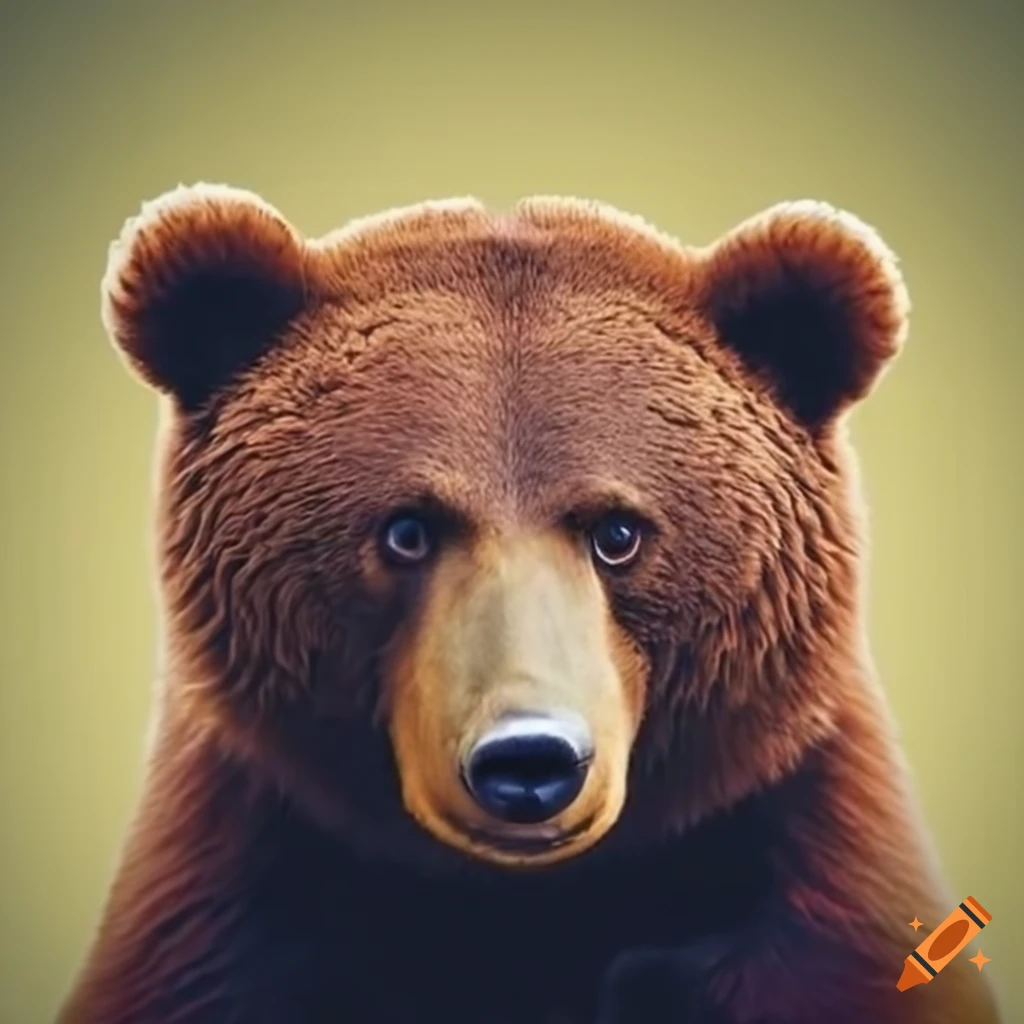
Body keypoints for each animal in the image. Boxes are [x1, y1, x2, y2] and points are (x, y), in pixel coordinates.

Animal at [58, 183, 1002, 1024]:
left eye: (618, 531)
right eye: (407, 530)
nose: (529, 758)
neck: (525, 921)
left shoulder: (800, 911)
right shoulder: (231, 928)